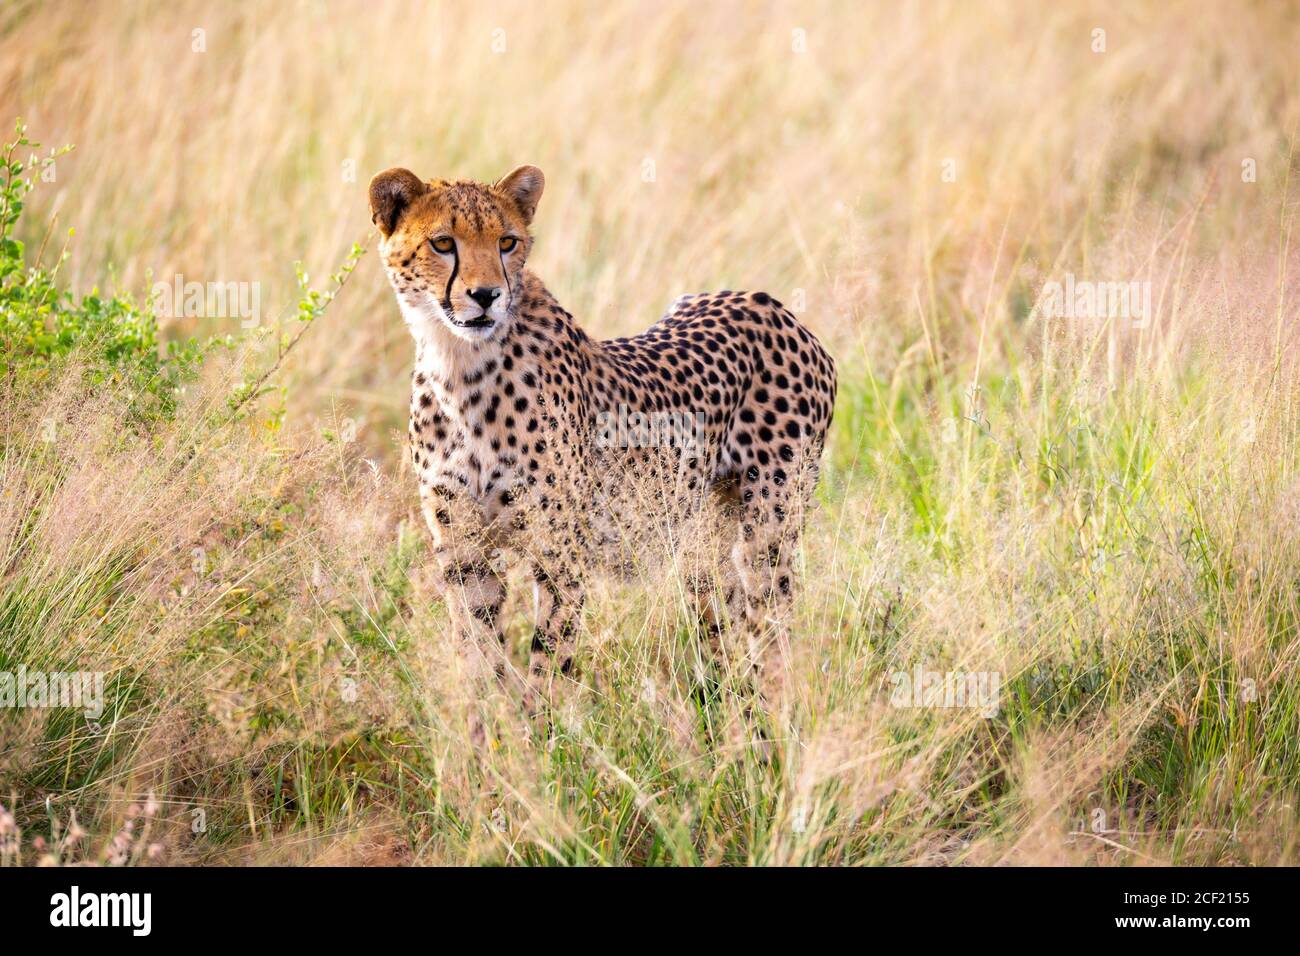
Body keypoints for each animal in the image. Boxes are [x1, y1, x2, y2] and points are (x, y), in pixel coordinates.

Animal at [369, 163, 837, 743]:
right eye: (442, 243)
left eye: (507, 242)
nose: (486, 295)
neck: (459, 364)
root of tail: (771, 305)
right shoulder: (463, 553)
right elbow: (477, 658)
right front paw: (489, 747)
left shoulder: (561, 554)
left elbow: (549, 661)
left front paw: (541, 747)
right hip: (701, 545)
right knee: (721, 635)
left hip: (769, 534)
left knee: (772, 635)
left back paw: (775, 730)